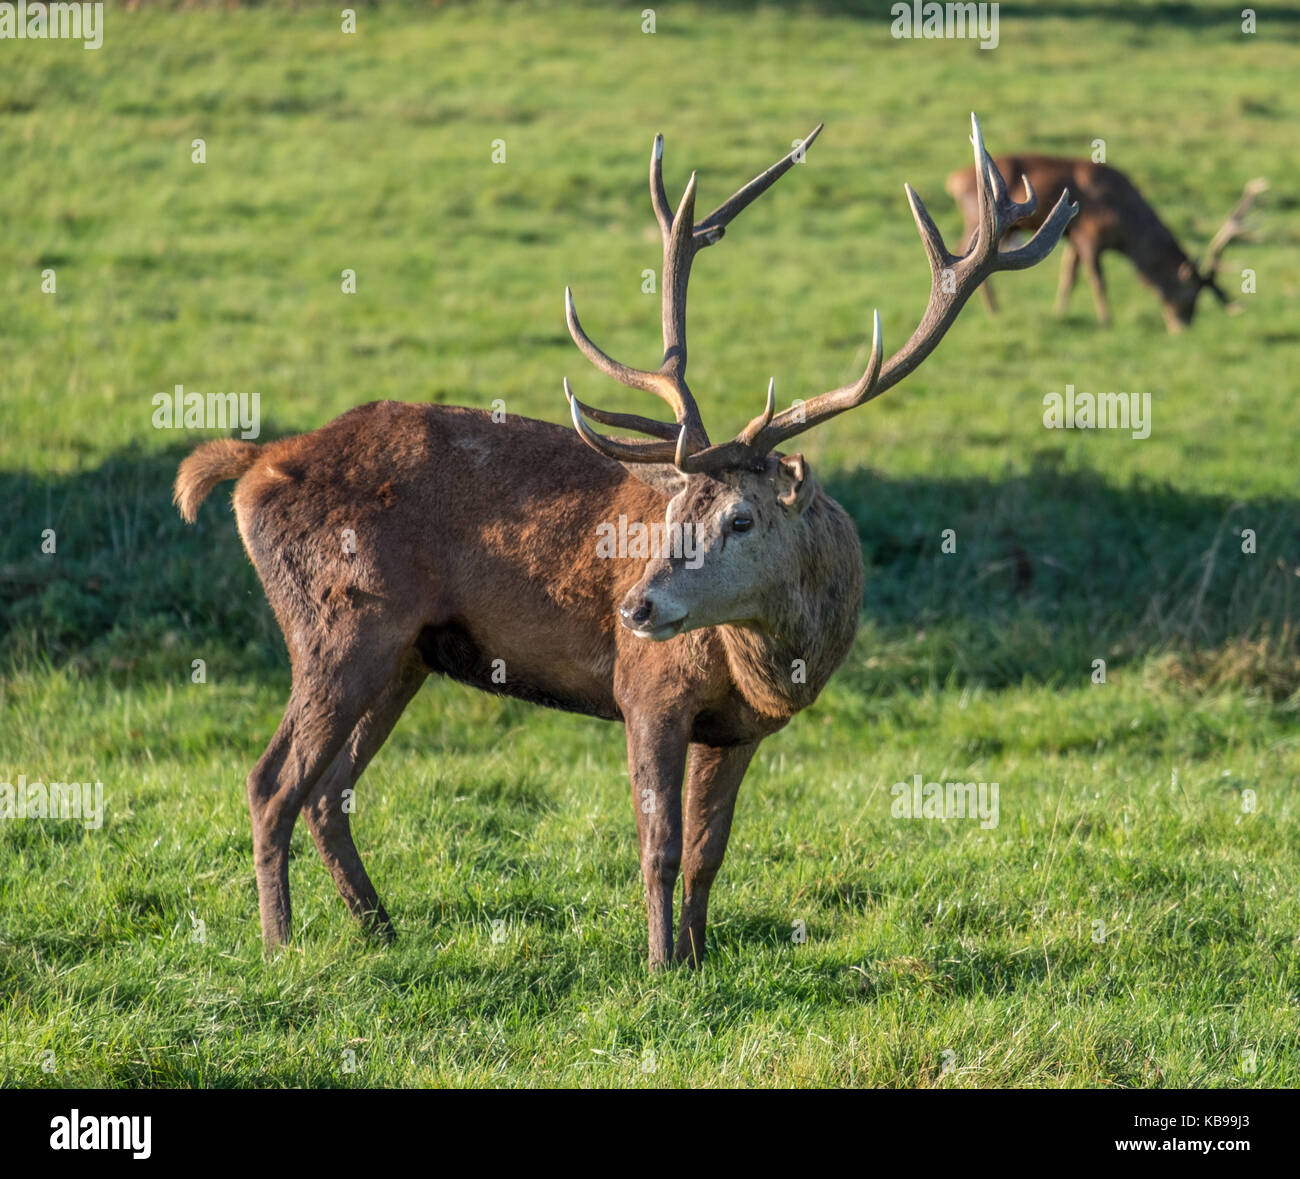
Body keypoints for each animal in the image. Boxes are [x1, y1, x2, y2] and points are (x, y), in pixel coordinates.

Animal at [174, 115, 1075, 971]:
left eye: (739, 517)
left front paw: (702, 958)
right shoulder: (648, 690)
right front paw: (658, 965)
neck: (775, 662)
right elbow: (660, 846)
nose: (636, 608)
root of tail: (253, 467)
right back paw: (280, 944)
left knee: (330, 791)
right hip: (339, 624)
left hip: (405, 653)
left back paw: (381, 930)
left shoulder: (740, 729)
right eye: (677, 510)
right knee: (271, 781)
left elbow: (710, 852)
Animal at [947, 155, 1265, 332]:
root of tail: (953, 181)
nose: (1182, 327)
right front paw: (1106, 320)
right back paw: (993, 309)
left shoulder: (1073, 237)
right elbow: (1098, 281)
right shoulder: (1090, 235)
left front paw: (1060, 312)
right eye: (1189, 296)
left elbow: (1068, 277)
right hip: (976, 217)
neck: (1127, 233)